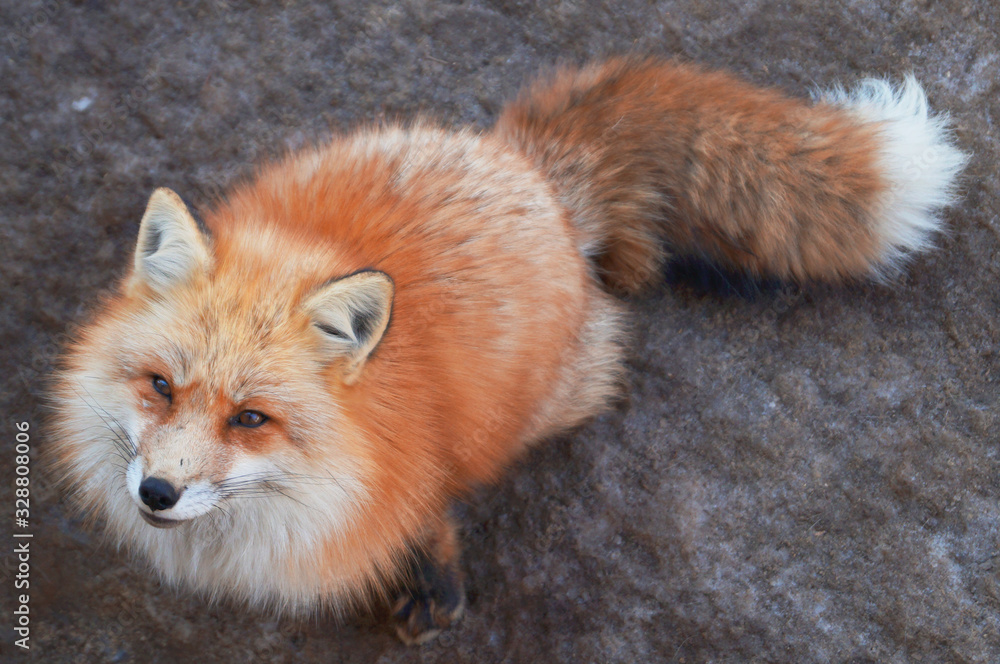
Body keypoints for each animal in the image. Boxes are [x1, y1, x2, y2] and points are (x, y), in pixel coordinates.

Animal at [49, 57, 966, 644]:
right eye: (161, 387)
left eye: (250, 418)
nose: (158, 492)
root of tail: (529, 167)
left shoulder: (421, 465)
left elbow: (431, 519)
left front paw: (435, 592)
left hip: (557, 387)